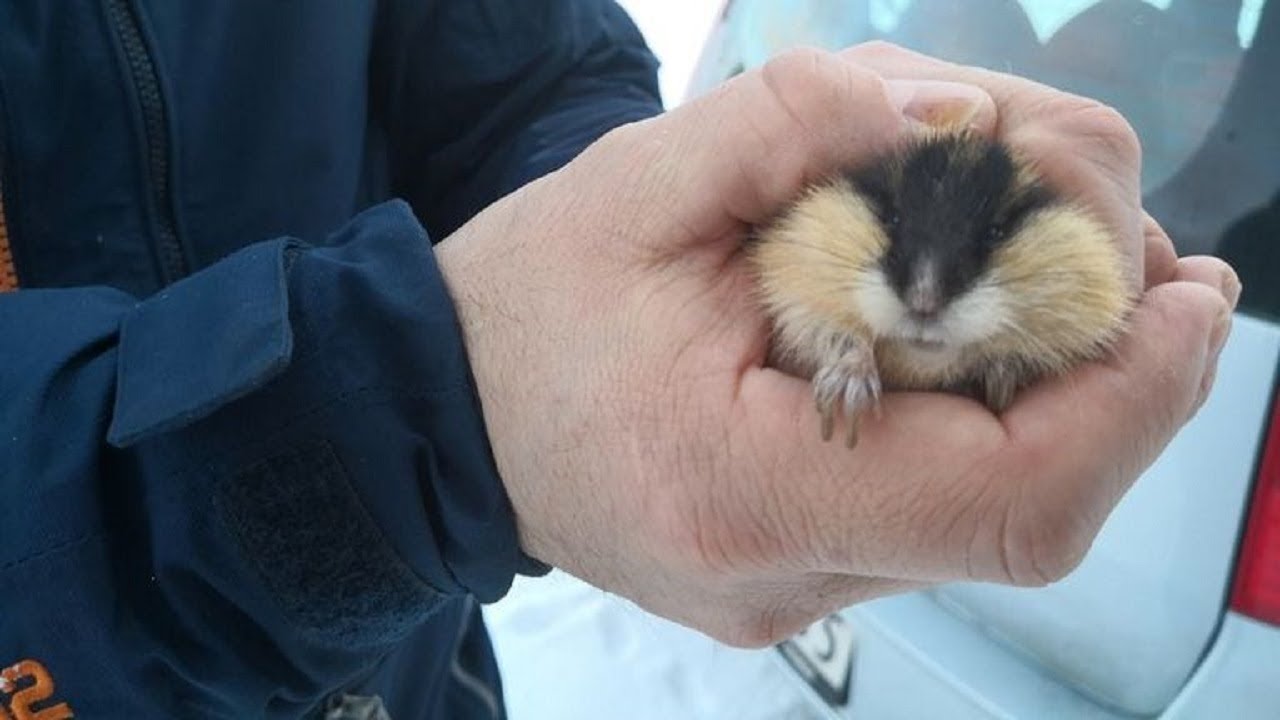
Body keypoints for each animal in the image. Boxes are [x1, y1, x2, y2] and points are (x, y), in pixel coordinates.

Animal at [750, 128, 1133, 447]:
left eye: (996, 231)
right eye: (893, 217)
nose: (924, 302)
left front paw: (1000, 377)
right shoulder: (795, 296)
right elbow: (835, 335)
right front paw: (848, 395)